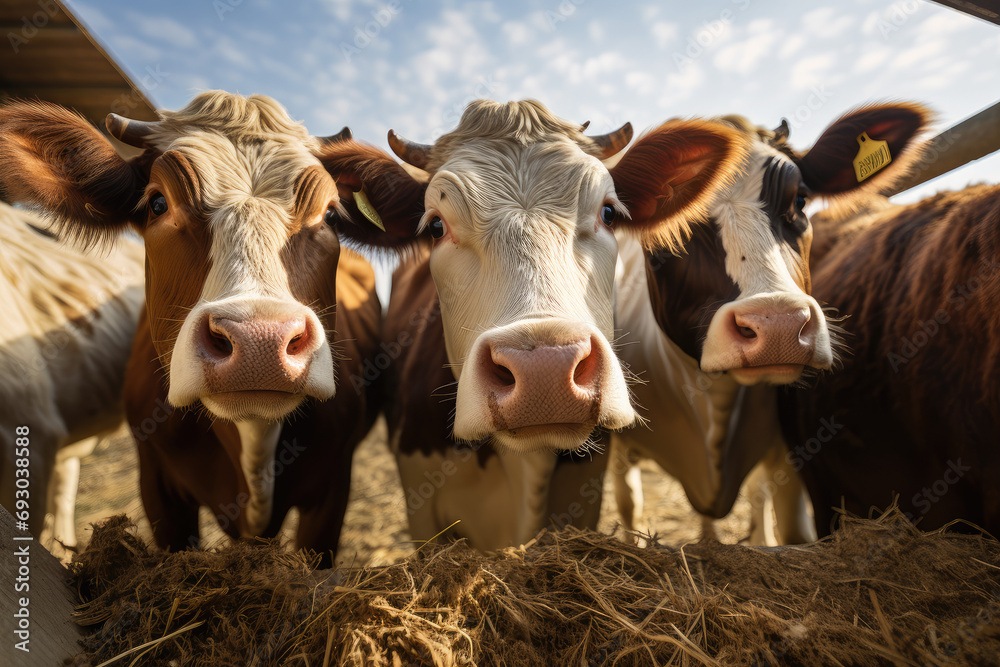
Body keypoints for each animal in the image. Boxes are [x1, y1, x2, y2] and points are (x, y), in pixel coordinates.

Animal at [610, 103, 930, 545]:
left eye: (800, 199)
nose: (778, 325)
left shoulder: (784, 455)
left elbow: (791, 526)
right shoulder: (620, 444)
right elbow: (630, 508)